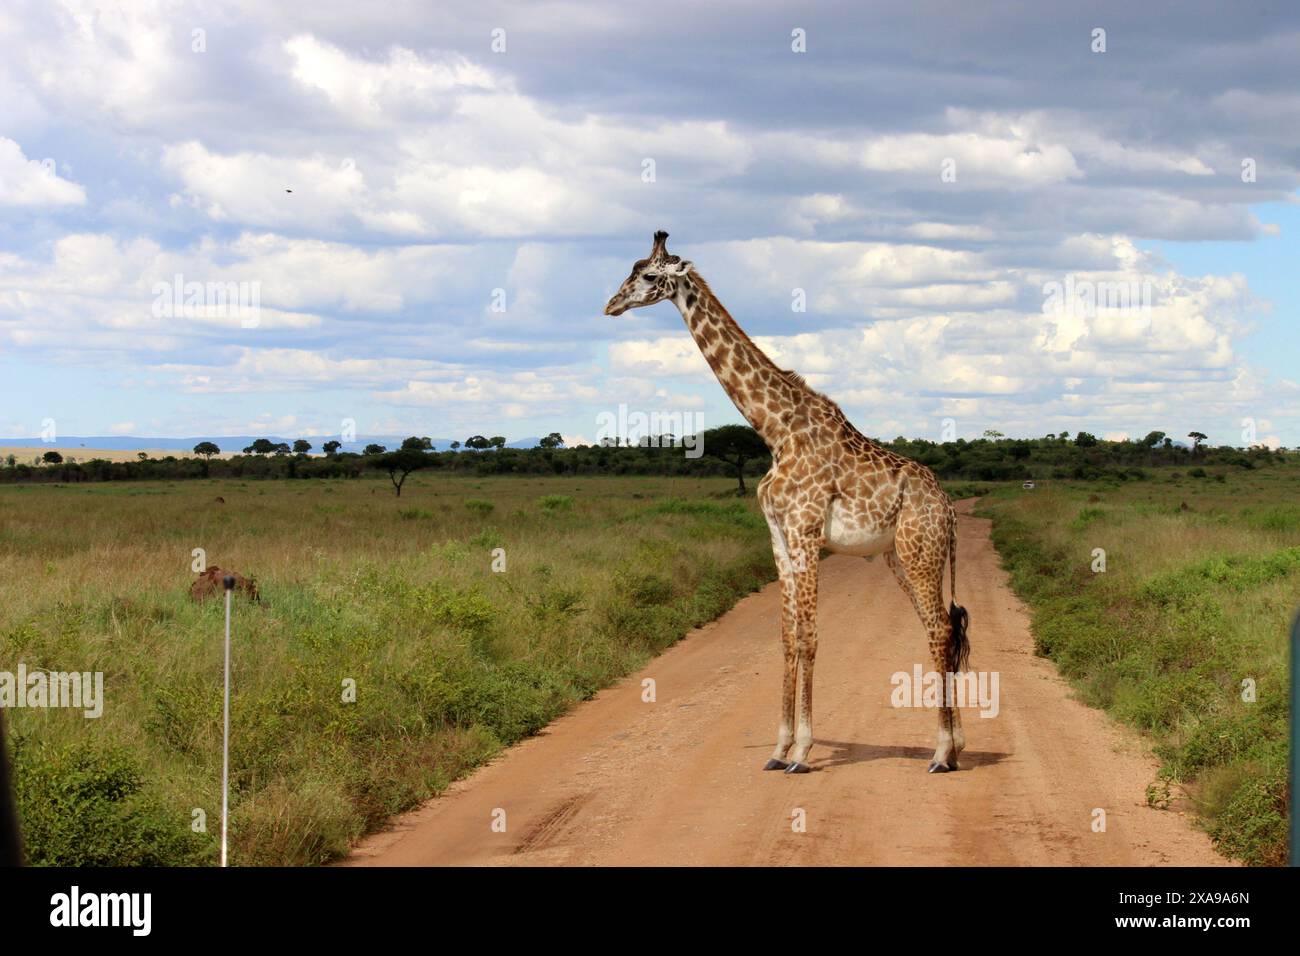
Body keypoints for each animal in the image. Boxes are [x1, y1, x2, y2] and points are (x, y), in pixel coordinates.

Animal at [605, 231, 971, 774]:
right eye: (629, 270)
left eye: (648, 275)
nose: (610, 305)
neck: (774, 430)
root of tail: (948, 508)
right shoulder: (778, 536)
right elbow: (786, 638)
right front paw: (778, 749)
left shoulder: (805, 532)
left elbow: (809, 636)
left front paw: (801, 751)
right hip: (901, 557)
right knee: (942, 626)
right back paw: (958, 743)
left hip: (918, 551)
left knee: (941, 630)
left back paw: (943, 752)